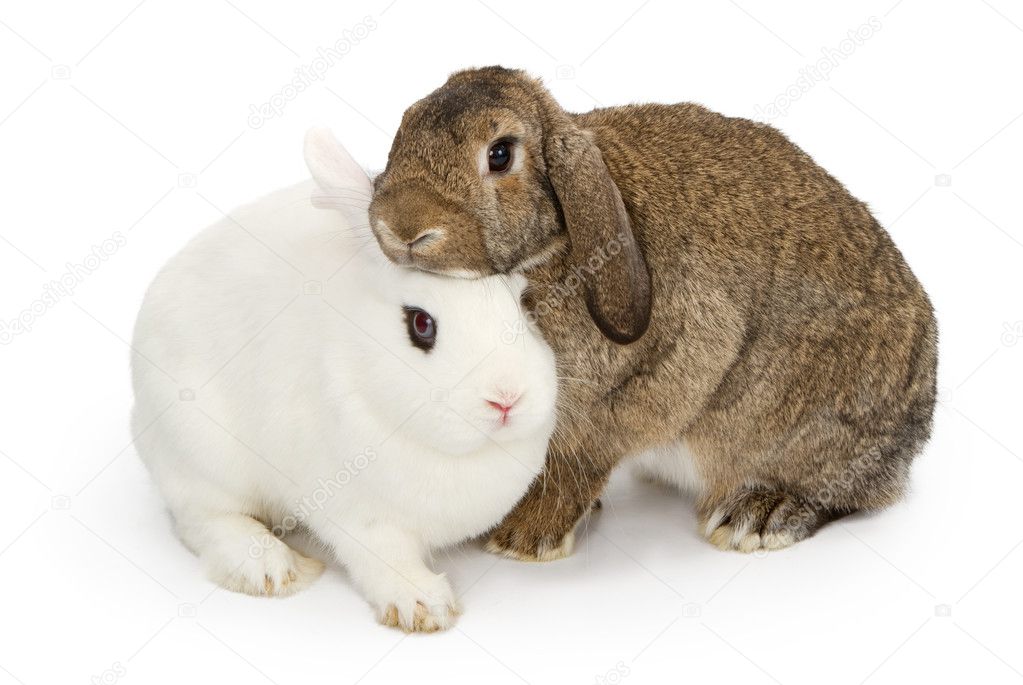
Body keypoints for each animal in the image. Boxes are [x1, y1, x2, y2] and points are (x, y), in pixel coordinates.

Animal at [130, 127, 558, 632]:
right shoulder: (357, 515)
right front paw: (423, 606)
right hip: (199, 452)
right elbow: (383, 556)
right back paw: (272, 569)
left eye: (524, 305)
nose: (507, 398)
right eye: (421, 325)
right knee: (202, 518)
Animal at [365, 66, 938, 560]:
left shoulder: (653, 377)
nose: (402, 226)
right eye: (404, 125)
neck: (552, 244)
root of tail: (916, 430)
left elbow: (578, 459)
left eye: (500, 154)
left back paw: (758, 514)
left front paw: (524, 537)